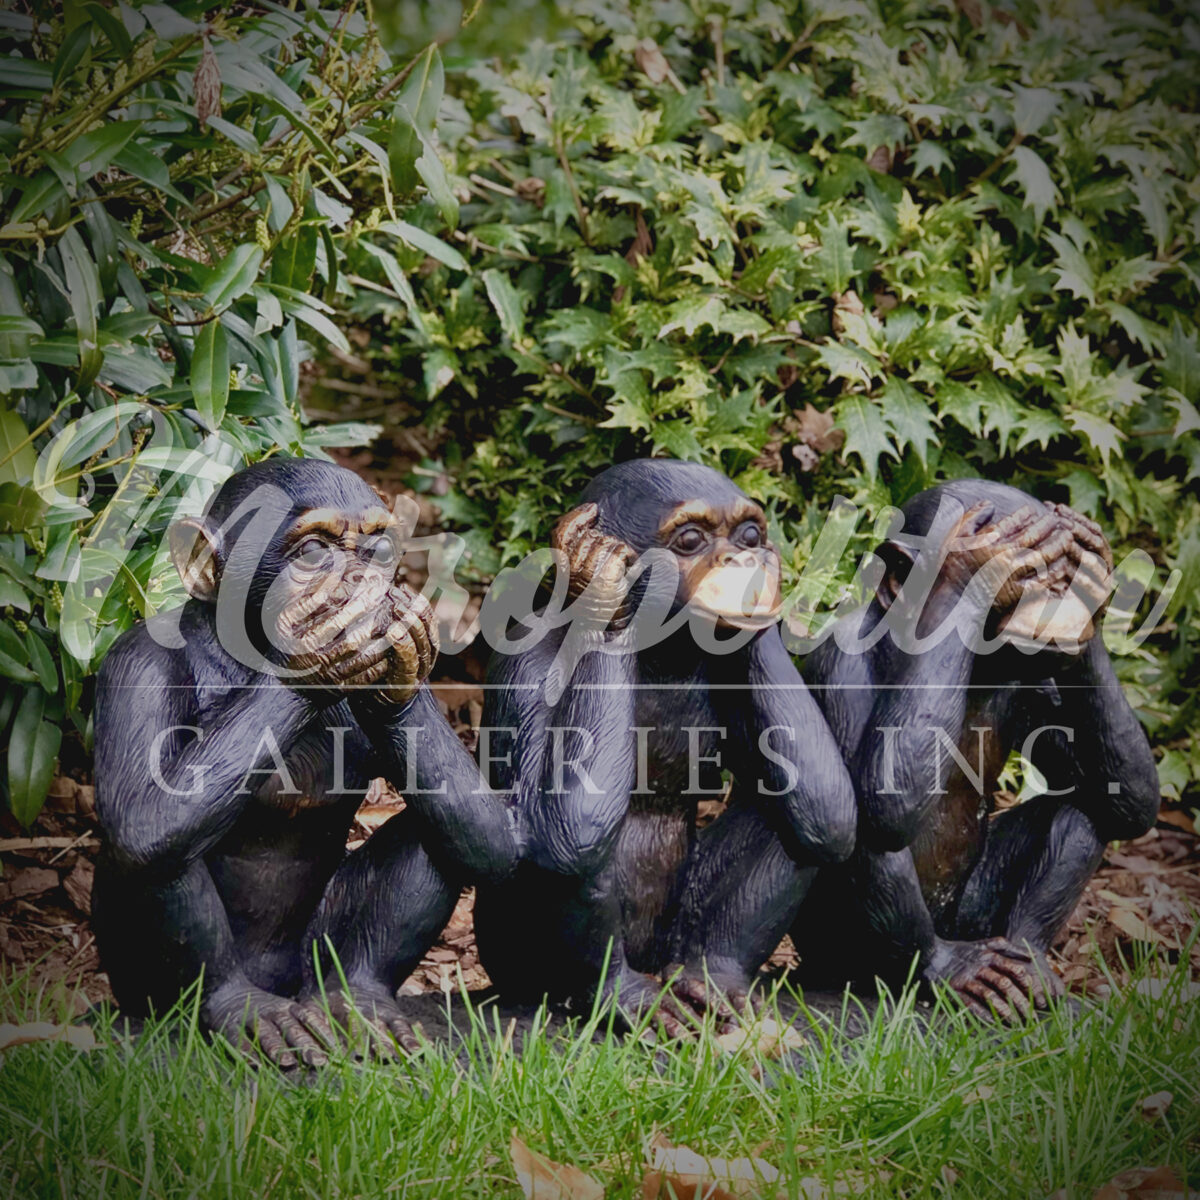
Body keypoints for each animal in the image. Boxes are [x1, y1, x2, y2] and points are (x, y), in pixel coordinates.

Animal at [91, 458, 516, 1067]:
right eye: (313, 551)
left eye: (379, 550)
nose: (361, 580)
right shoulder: (139, 663)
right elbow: (147, 817)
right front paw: (309, 654)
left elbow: (496, 842)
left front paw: (396, 680)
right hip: (144, 991)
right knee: (155, 843)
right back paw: (242, 1009)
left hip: (314, 960)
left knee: (447, 830)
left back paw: (361, 999)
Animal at [672, 481, 1159, 1020]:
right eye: (1020, 581)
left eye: (1057, 580)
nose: (1049, 609)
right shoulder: (840, 665)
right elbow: (879, 806)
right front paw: (971, 566)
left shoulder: (1040, 678)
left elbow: (1130, 800)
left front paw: (1092, 573)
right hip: (847, 959)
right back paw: (947, 968)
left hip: (971, 917)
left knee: (1088, 809)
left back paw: (1030, 958)